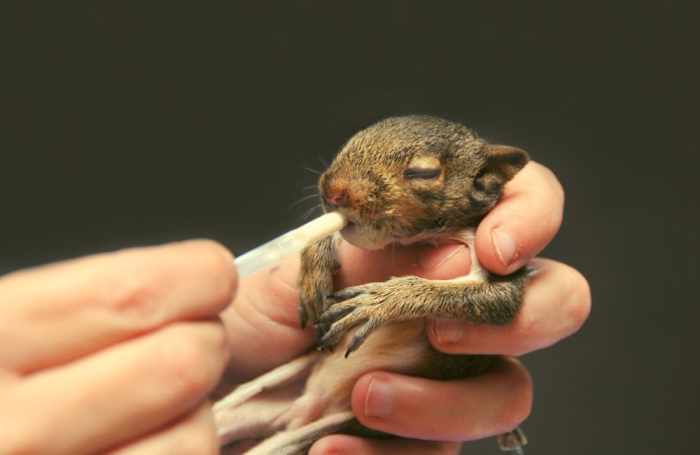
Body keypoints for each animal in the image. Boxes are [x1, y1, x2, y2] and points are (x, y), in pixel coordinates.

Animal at [215, 115, 531, 455]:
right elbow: (322, 231)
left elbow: (482, 299)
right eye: (349, 143)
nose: (332, 193)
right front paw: (314, 269)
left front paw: (378, 301)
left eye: (424, 173)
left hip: (321, 428)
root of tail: (302, 409)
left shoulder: (501, 272)